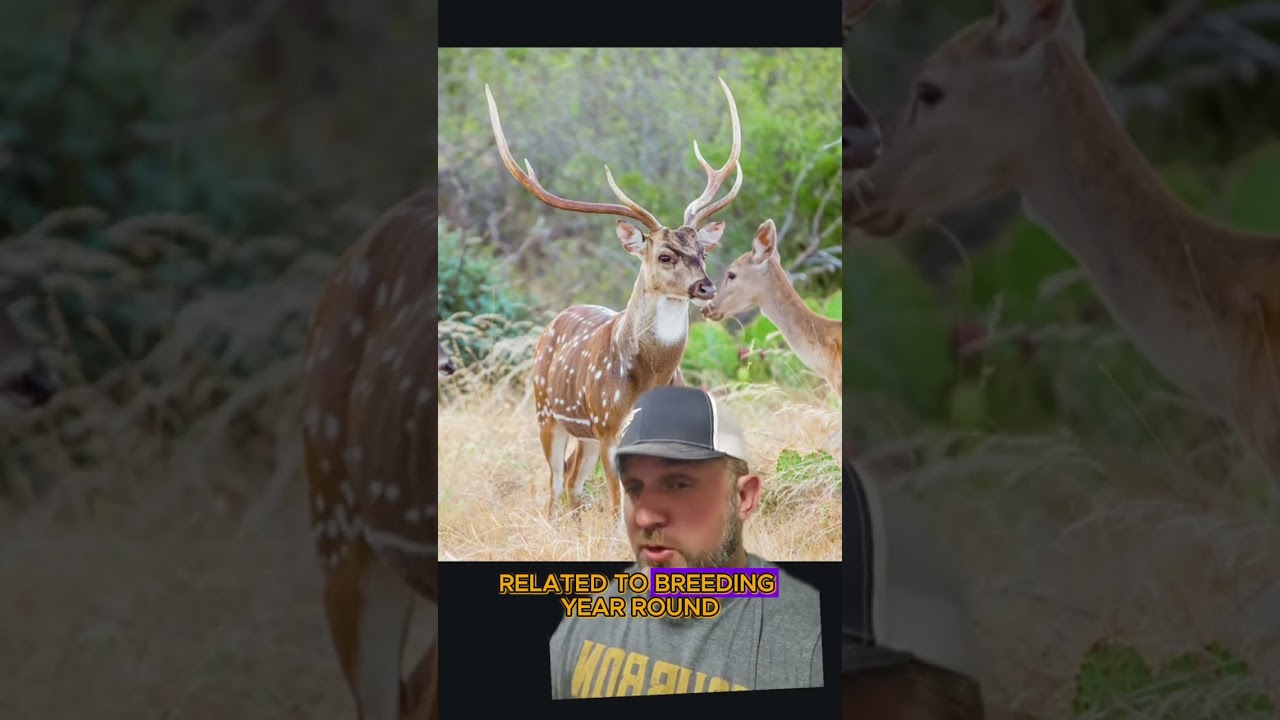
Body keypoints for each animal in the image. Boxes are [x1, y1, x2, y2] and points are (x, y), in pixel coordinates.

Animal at [484, 77, 742, 522]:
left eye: (703, 252)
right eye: (665, 255)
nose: (705, 287)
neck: (647, 378)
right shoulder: (609, 425)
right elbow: (619, 501)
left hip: (583, 432)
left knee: (573, 480)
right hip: (546, 411)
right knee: (555, 483)